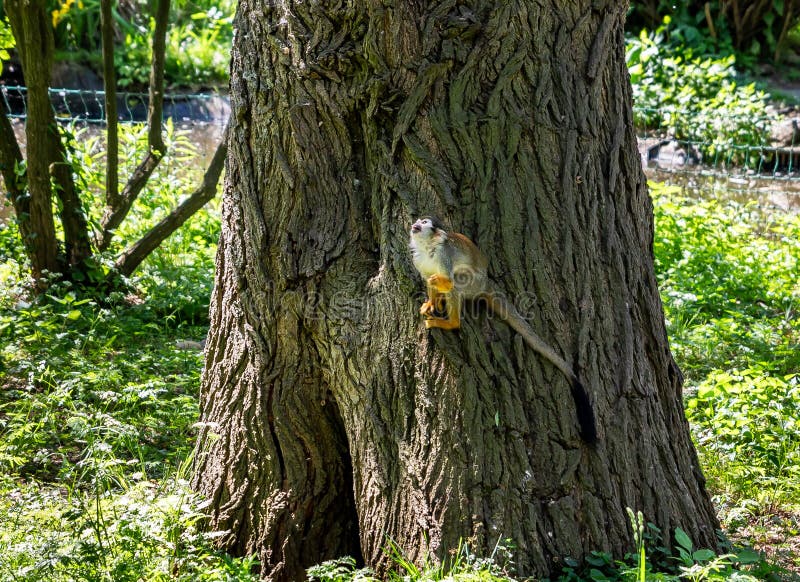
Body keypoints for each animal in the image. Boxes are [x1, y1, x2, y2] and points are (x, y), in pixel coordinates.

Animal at [409, 216, 598, 444]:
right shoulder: (419, 261)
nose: (416, 223)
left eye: (424, 222)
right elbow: (428, 280)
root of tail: (485, 285)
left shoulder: (444, 255)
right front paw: (430, 302)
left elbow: (446, 281)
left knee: (458, 281)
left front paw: (438, 286)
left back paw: (451, 323)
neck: (427, 247)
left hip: (473, 283)